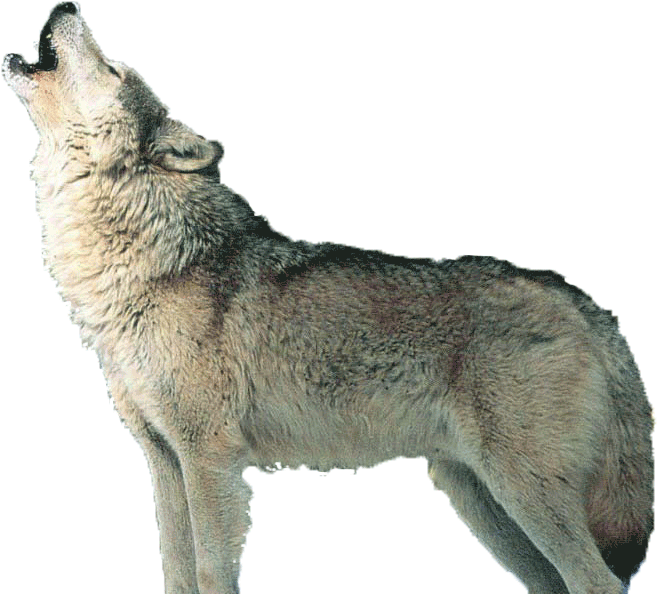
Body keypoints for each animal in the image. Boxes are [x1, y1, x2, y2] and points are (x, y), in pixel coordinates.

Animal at [3, 3, 653, 593]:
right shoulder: (164, 458)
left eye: (113, 68)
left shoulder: (208, 458)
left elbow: (211, 573)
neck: (144, 259)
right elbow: (176, 574)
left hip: (522, 493)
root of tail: (585, 303)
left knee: (598, 582)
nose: (67, 5)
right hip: (484, 503)